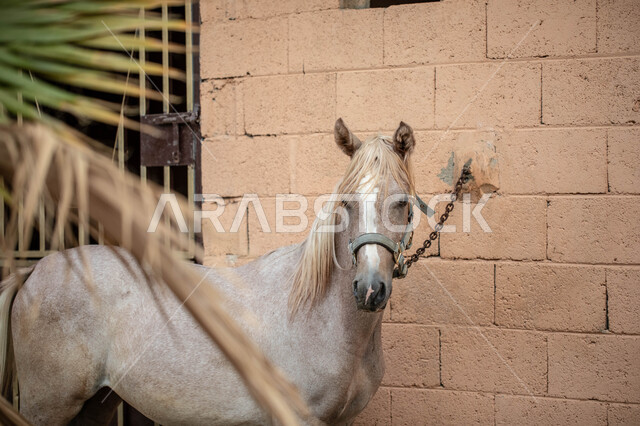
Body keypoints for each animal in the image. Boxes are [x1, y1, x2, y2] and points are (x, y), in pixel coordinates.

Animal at [0, 118, 418, 425]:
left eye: (403, 203)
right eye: (346, 203)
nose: (369, 289)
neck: (319, 315)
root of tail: (34, 271)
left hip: (97, 404)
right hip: (48, 407)